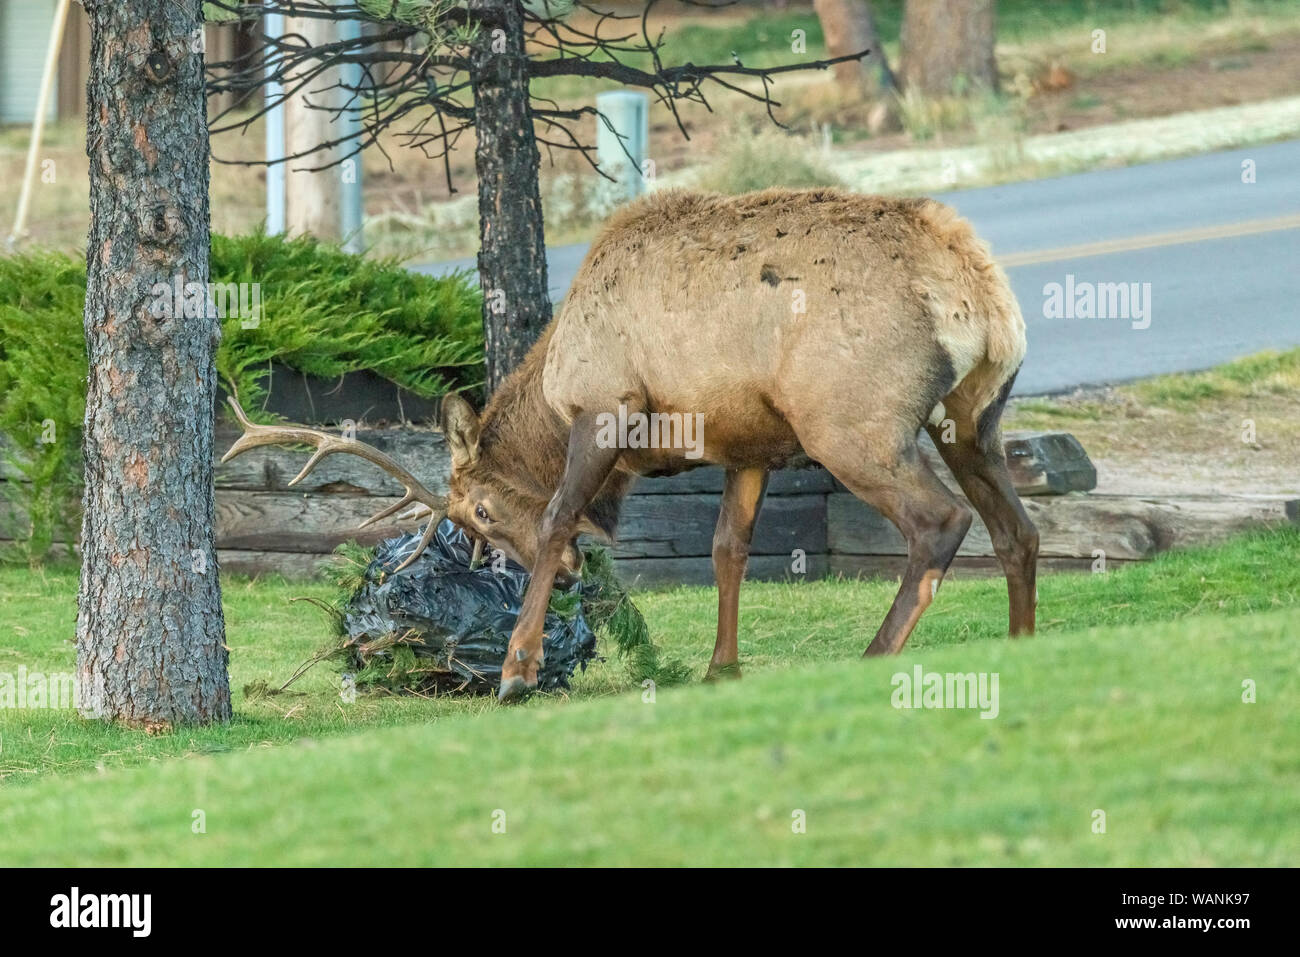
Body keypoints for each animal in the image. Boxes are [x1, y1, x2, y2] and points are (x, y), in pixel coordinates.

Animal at [224, 187, 1039, 703]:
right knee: (1017, 527)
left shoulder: (605, 404)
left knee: (941, 521)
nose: (574, 574)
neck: (553, 381)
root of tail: (984, 299)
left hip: (851, 421)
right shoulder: (748, 444)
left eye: (481, 511)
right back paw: (1022, 642)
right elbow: (726, 548)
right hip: (973, 417)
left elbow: (558, 516)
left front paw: (518, 668)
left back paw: (875, 654)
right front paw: (720, 667)